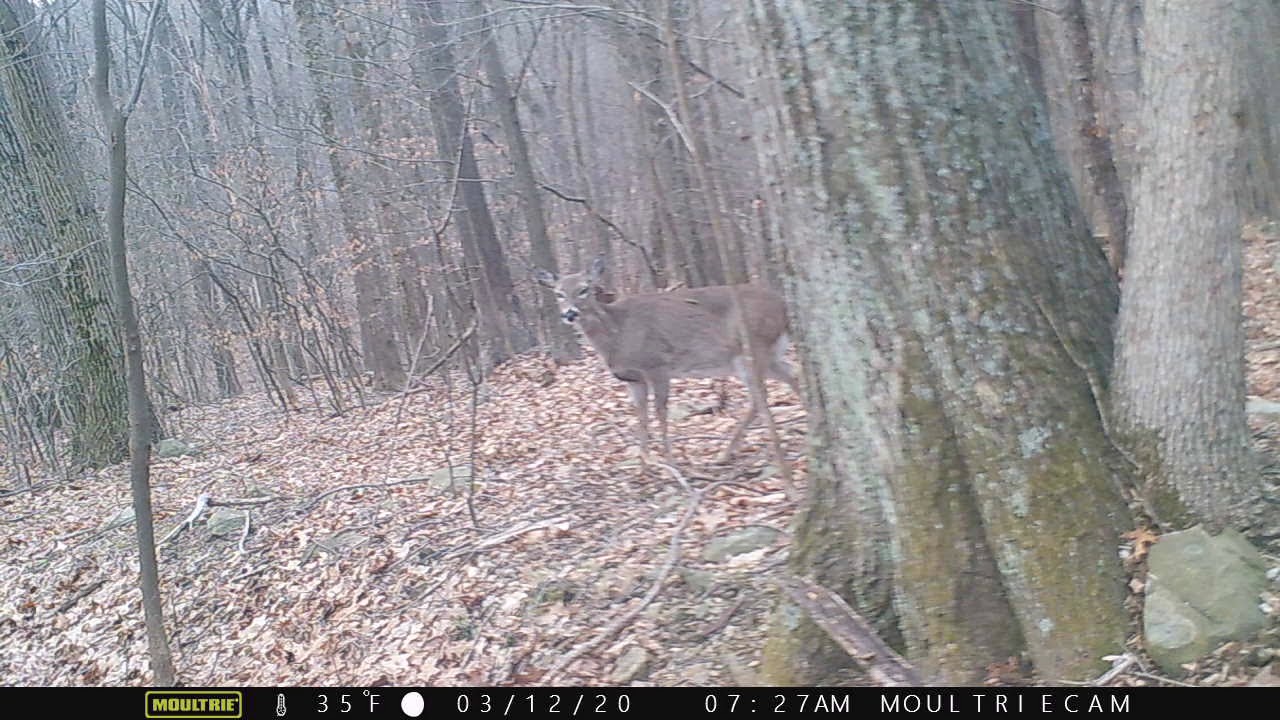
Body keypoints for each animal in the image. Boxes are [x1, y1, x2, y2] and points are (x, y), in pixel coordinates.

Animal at [535, 256, 801, 466]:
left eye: (584, 289)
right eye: (558, 293)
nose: (570, 313)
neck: (618, 334)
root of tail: (784, 305)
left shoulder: (658, 365)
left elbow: (660, 412)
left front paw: (669, 459)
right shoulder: (633, 379)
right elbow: (641, 415)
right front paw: (644, 461)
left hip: (751, 348)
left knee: (761, 396)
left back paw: (726, 453)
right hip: (767, 354)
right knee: (792, 374)